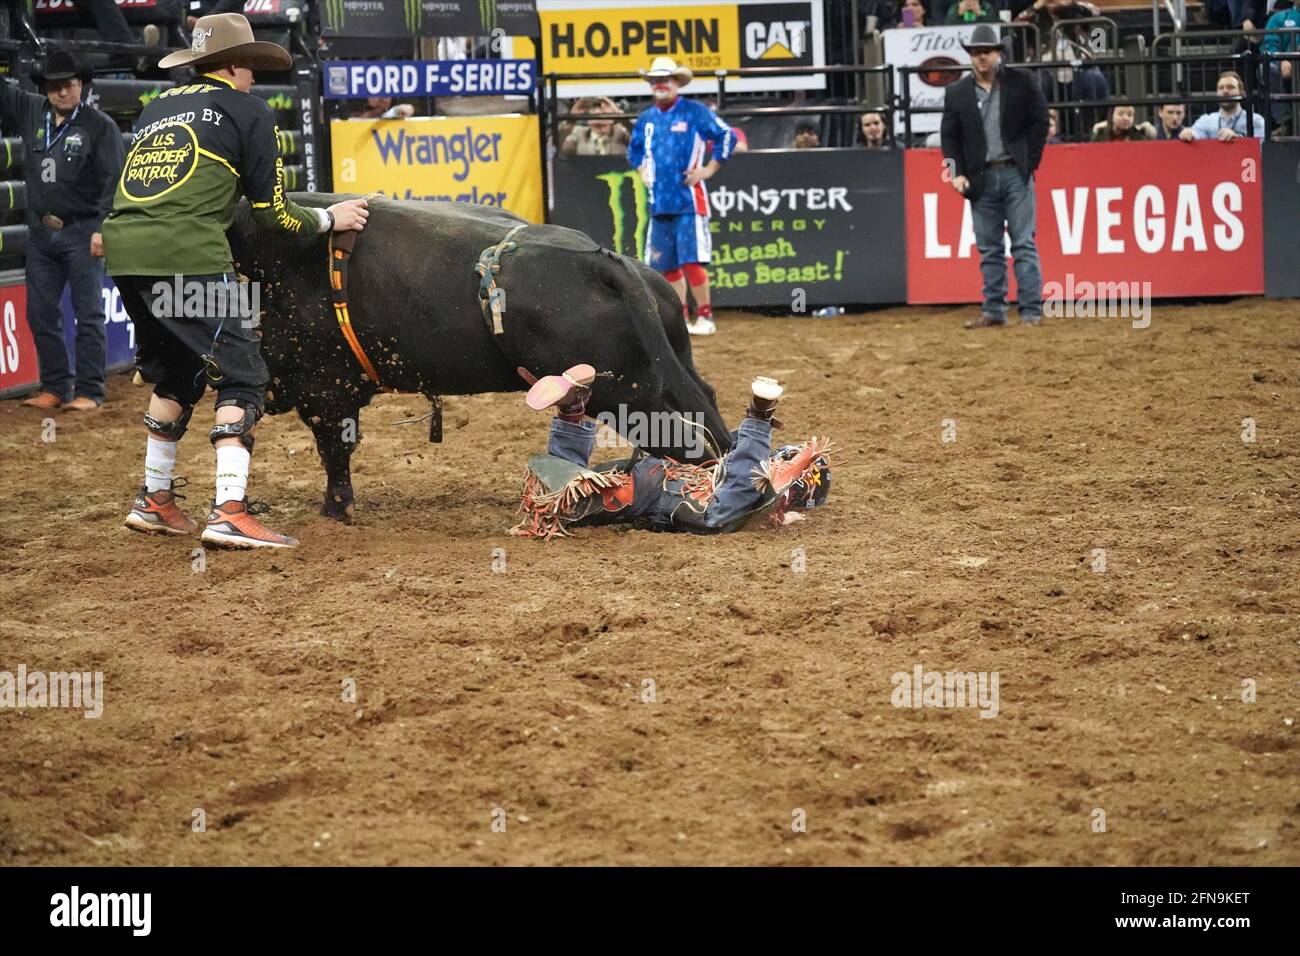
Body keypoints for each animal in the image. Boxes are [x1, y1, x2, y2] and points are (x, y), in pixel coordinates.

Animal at [227, 193, 731, 522]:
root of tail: (601, 261)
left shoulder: (324, 387)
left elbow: (334, 449)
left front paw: (336, 510)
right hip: (666, 372)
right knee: (705, 412)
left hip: (627, 392)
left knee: (686, 439)